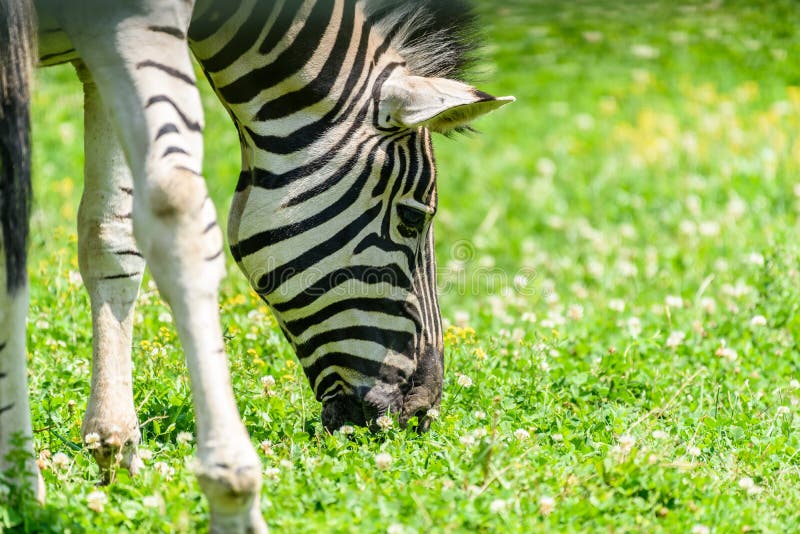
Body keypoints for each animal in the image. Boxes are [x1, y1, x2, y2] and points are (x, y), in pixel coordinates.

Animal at [0, 0, 512, 530]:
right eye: (413, 218)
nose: (421, 415)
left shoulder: (94, 55)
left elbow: (107, 234)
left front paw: (101, 447)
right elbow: (176, 211)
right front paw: (233, 492)